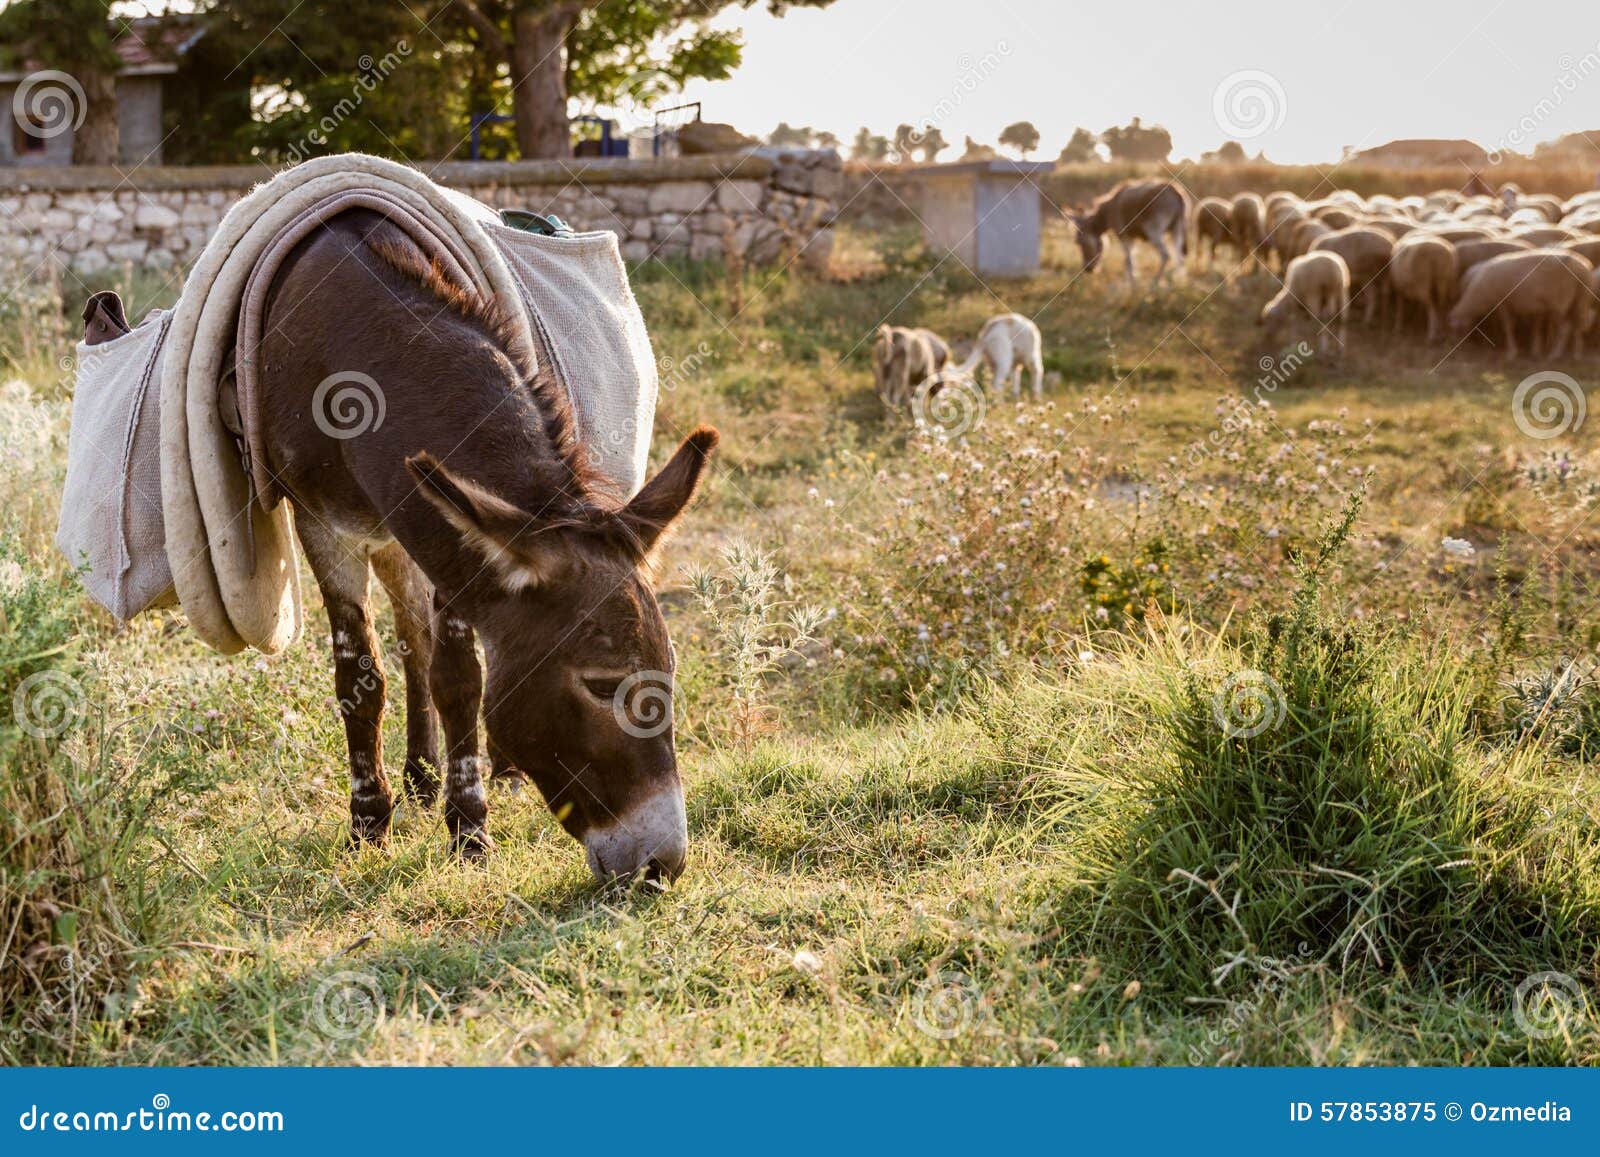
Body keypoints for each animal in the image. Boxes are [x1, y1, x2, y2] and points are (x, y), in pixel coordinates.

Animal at [1446, 249, 1595, 360]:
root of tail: (1583, 267)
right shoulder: (1534, 308)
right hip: (1579, 299)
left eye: (1455, 329)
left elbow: (1508, 327)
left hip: (1560, 302)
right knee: (1577, 324)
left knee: (1565, 328)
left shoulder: (1503, 303)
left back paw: (1555, 354)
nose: (1454, 347)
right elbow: (1535, 327)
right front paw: (1535, 350)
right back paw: (1577, 354)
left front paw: (1512, 352)